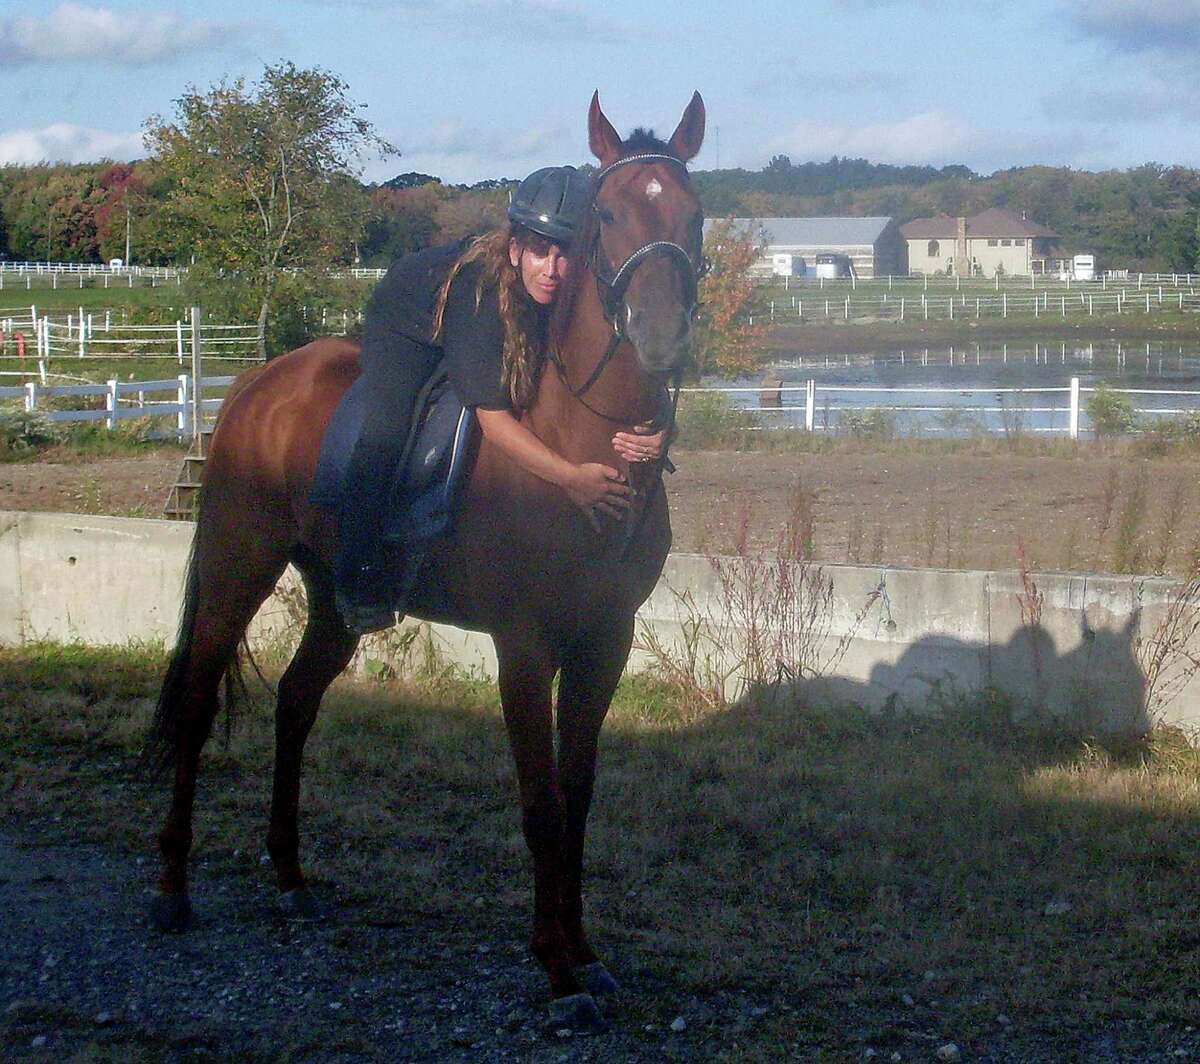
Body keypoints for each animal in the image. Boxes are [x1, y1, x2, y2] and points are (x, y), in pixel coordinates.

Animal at [149, 92, 706, 1028]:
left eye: (695, 214)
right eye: (607, 216)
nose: (660, 339)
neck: (572, 446)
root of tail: (259, 383)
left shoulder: (605, 642)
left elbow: (579, 794)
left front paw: (586, 953)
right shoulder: (526, 648)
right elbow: (541, 802)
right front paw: (556, 970)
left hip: (336, 600)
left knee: (295, 704)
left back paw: (291, 875)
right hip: (237, 563)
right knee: (194, 703)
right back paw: (171, 890)